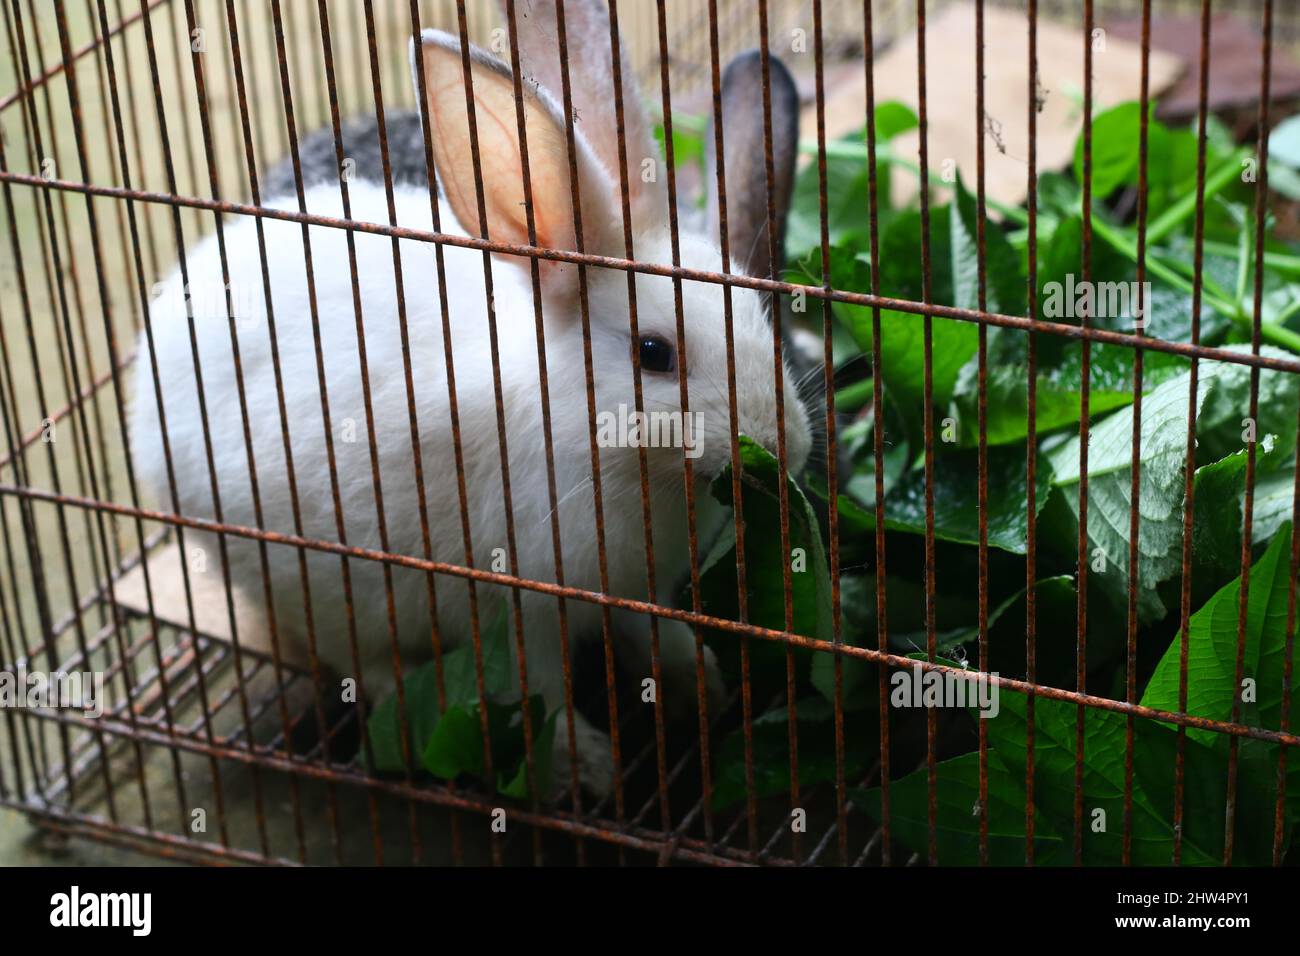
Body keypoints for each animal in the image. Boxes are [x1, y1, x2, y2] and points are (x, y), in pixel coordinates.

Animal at [129, 0, 809, 799]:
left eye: (764, 318)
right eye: (653, 354)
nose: (786, 445)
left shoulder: (638, 590)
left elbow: (657, 634)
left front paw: (701, 683)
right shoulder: (516, 607)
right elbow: (535, 688)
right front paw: (585, 768)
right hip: (312, 582)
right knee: (363, 662)